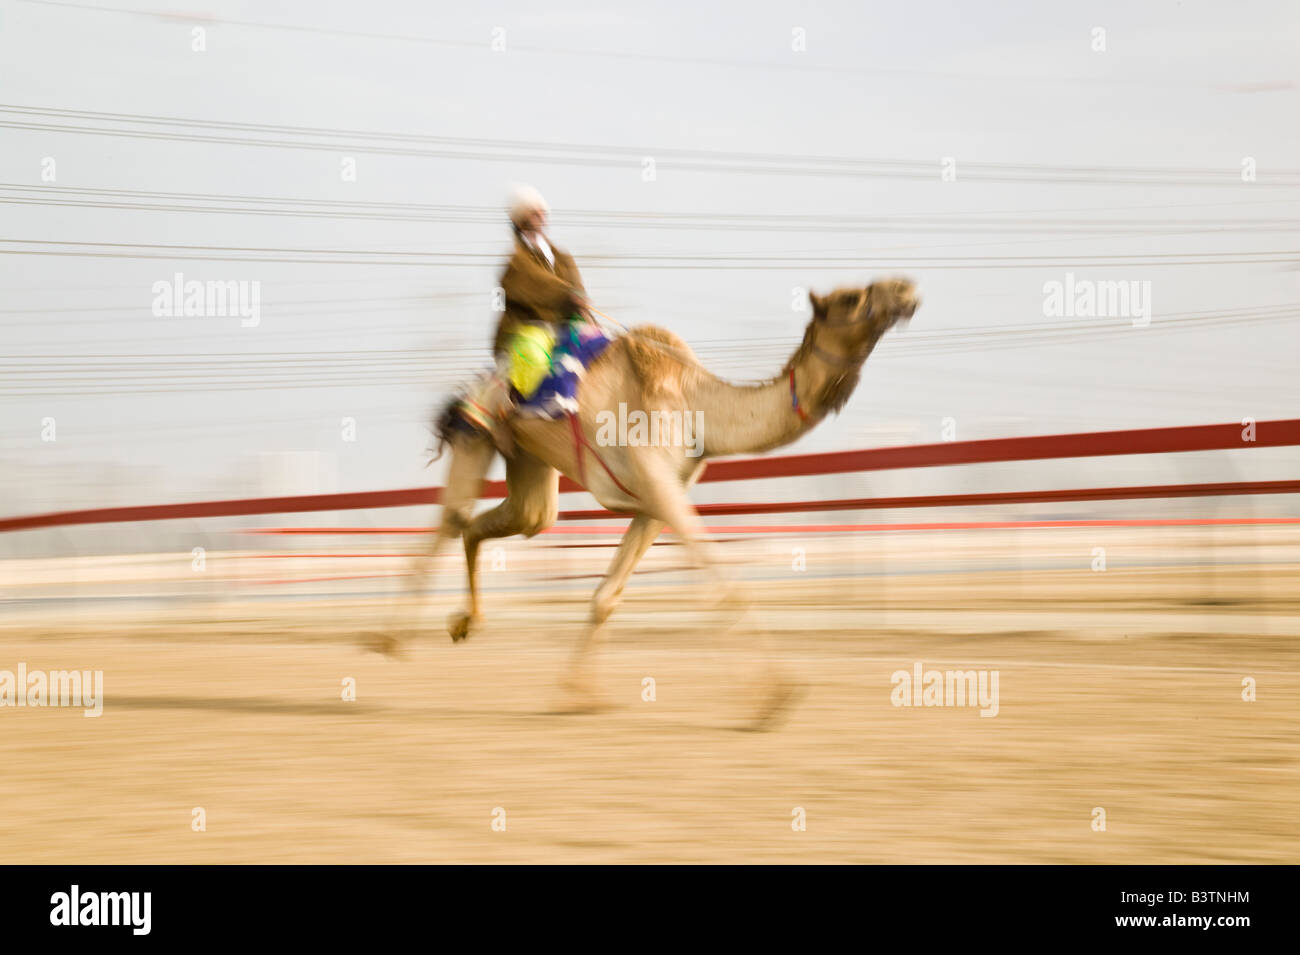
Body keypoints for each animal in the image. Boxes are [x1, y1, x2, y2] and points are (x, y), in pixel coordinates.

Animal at [378, 277, 919, 719]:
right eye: (853, 298)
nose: (906, 288)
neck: (698, 405)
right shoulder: (658, 479)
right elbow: (722, 578)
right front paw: (774, 697)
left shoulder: (655, 501)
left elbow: (605, 597)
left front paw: (578, 693)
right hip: (480, 428)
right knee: (451, 517)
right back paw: (386, 641)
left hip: (527, 460)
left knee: (507, 519)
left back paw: (463, 622)